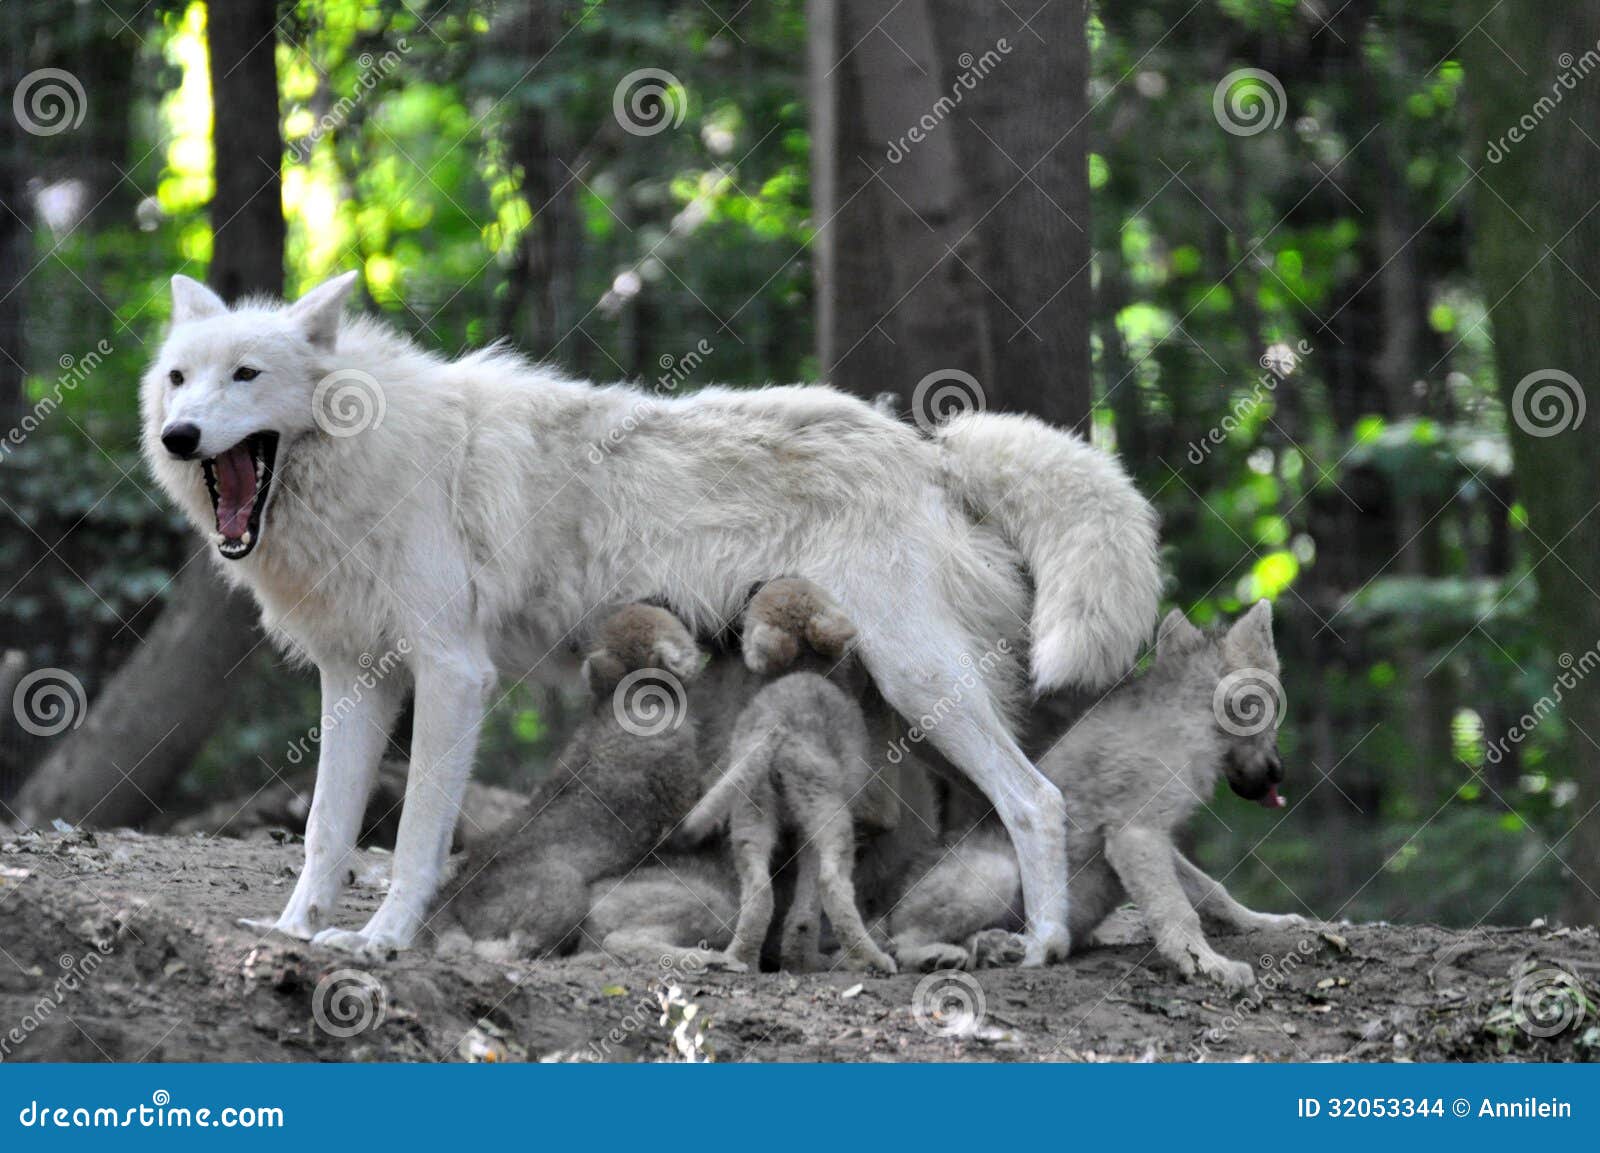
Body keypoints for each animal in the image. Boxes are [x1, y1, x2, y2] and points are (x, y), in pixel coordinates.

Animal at [140, 272, 1160, 963]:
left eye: (247, 374)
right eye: (181, 377)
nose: (178, 436)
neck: (372, 455)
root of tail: (931, 448)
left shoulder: (453, 671)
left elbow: (416, 835)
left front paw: (382, 940)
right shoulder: (357, 676)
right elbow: (324, 829)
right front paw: (292, 928)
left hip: (923, 686)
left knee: (1038, 800)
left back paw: (1041, 943)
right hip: (906, 710)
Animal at [887, 602, 1305, 987]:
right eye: (1276, 708)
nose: (1279, 772)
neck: (1192, 719)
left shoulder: (1155, 840)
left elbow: (1212, 891)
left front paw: (1266, 922)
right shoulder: (1136, 834)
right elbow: (1176, 911)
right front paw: (1207, 964)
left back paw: (994, 947)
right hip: (997, 873)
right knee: (900, 943)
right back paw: (939, 956)